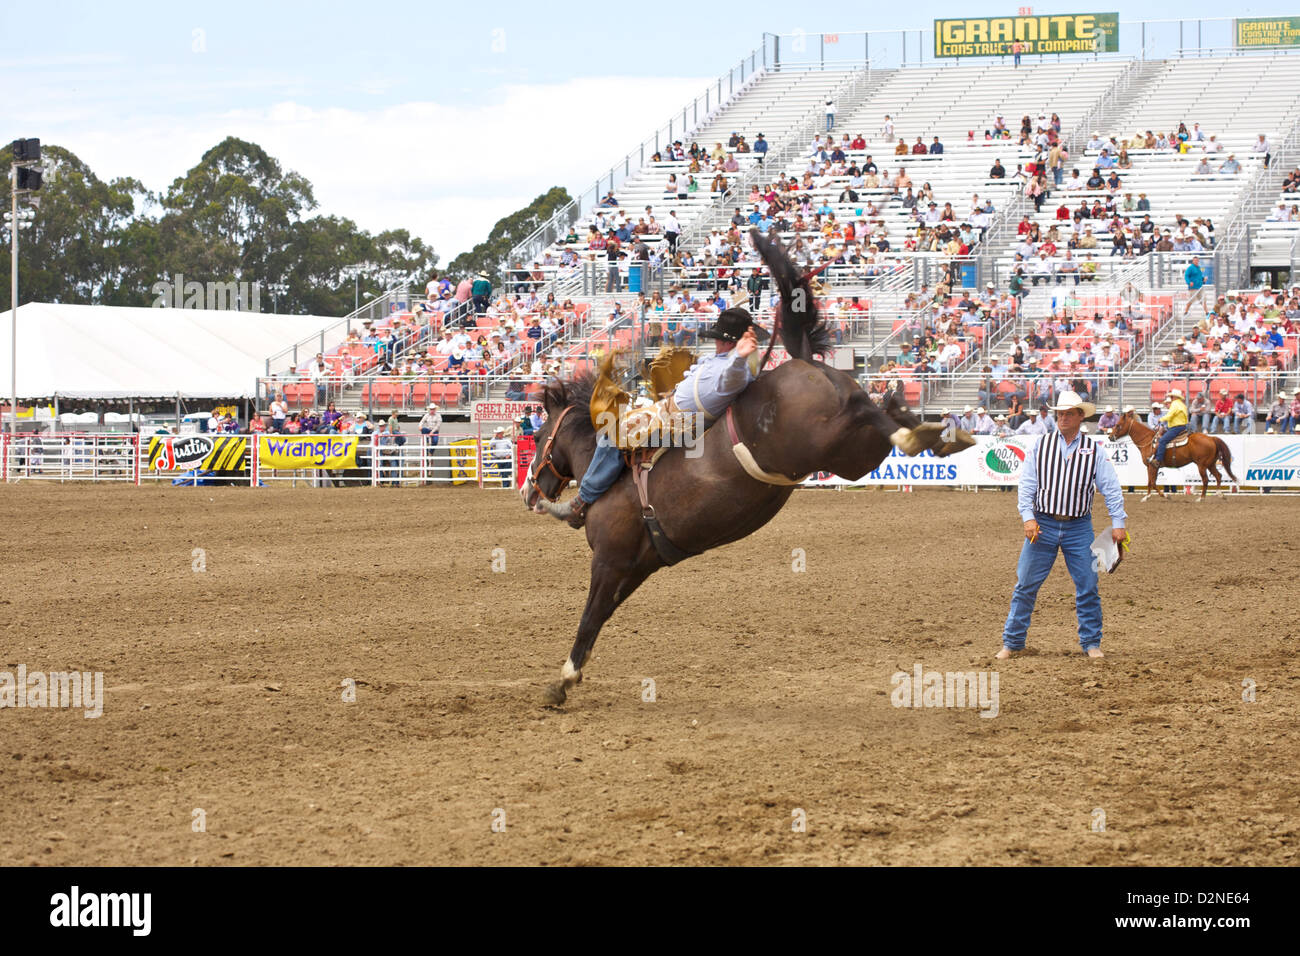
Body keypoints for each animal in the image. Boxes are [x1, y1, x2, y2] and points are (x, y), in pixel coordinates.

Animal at [519, 231, 969, 705]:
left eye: (539, 432)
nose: (528, 489)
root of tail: (802, 359)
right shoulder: (637, 566)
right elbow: (602, 616)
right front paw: (569, 677)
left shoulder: (610, 559)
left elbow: (590, 615)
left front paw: (563, 680)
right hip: (850, 455)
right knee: (879, 409)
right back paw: (934, 428)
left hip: (826, 437)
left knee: (870, 415)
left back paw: (918, 432)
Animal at [1107, 410, 1237, 501]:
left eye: (1118, 425)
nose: (1110, 437)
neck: (1148, 441)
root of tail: (1211, 438)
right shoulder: (1151, 467)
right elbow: (1150, 482)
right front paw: (1147, 497)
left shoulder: (1152, 466)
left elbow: (1153, 483)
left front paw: (1165, 496)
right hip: (1210, 464)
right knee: (1219, 476)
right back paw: (1220, 494)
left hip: (1202, 465)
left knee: (1206, 480)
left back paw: (1201, 498)